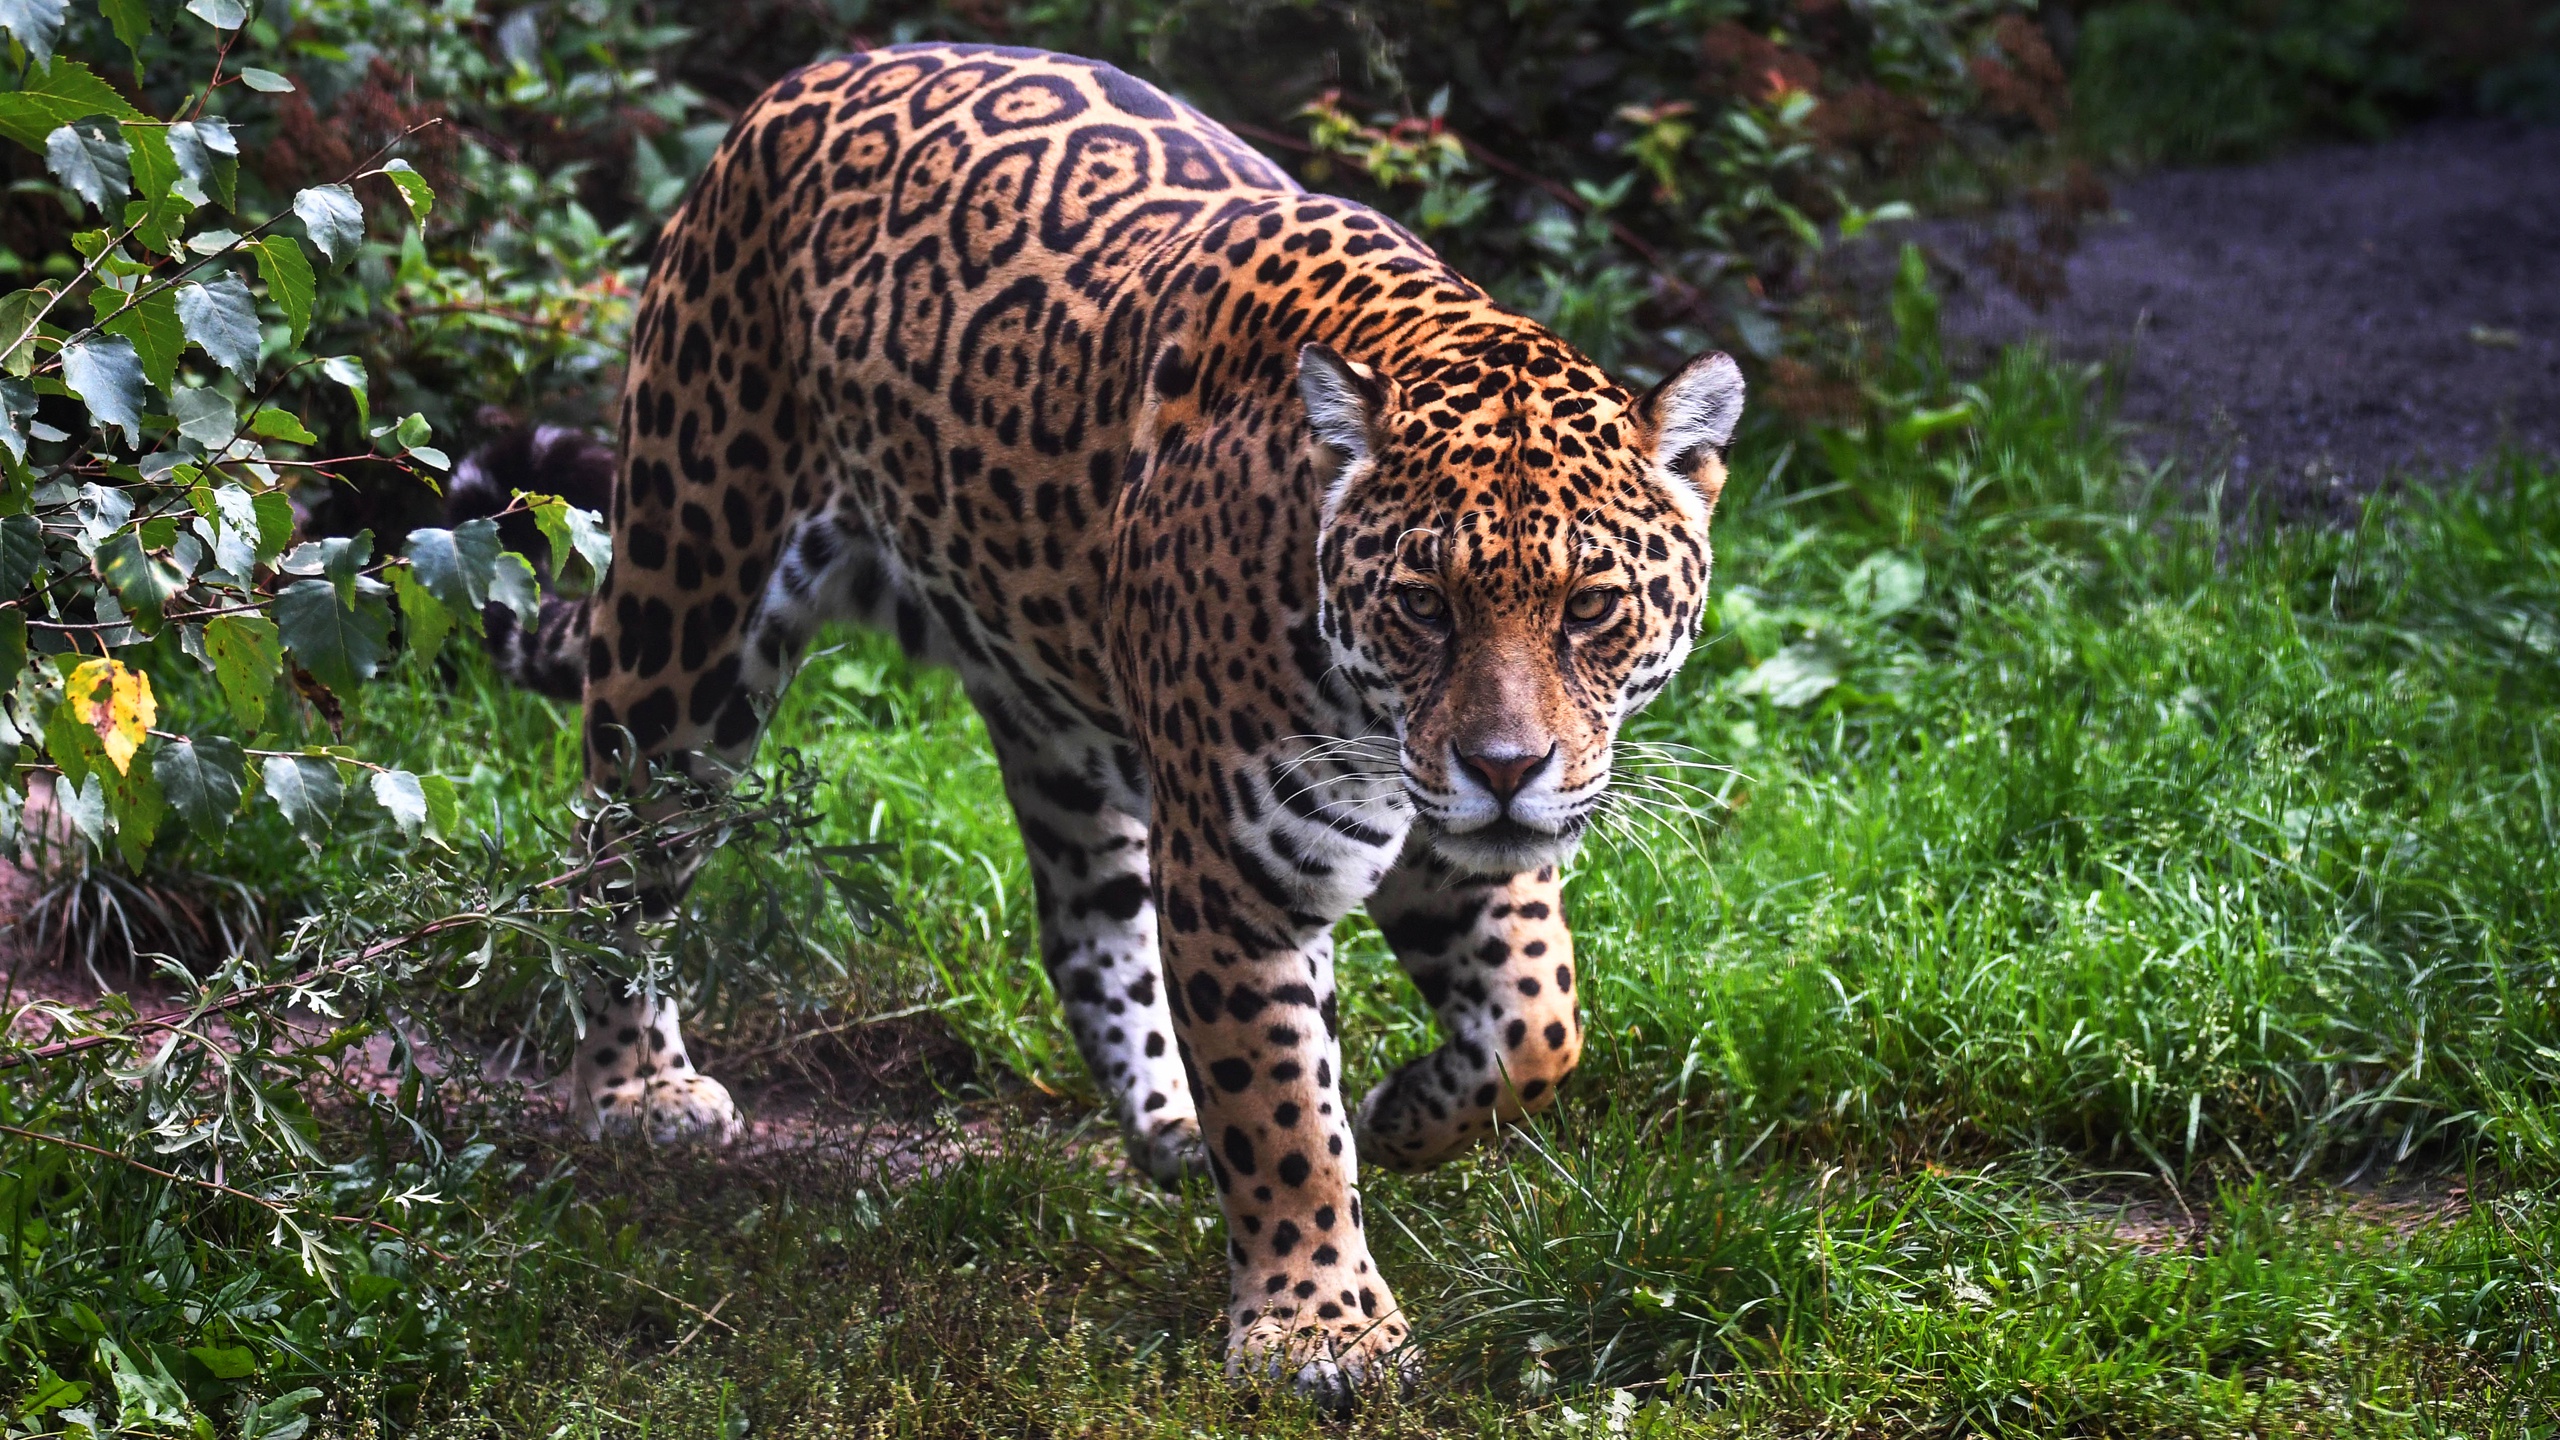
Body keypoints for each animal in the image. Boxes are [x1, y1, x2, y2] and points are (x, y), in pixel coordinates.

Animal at [478, 41, 1743, 1395]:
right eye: (1423, 606)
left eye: (1590, 608)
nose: (1505, 765)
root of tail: (809, 76)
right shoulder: (1244, 876)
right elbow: (1283, 1111)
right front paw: (1316, 1324)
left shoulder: (1450, 849)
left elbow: (1538, 1026)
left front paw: (1402, 1117)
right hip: (691, 609)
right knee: (610, 866)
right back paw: (633, 1092)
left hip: (1059, 723)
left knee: (1087, 927)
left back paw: (1170, 1123)